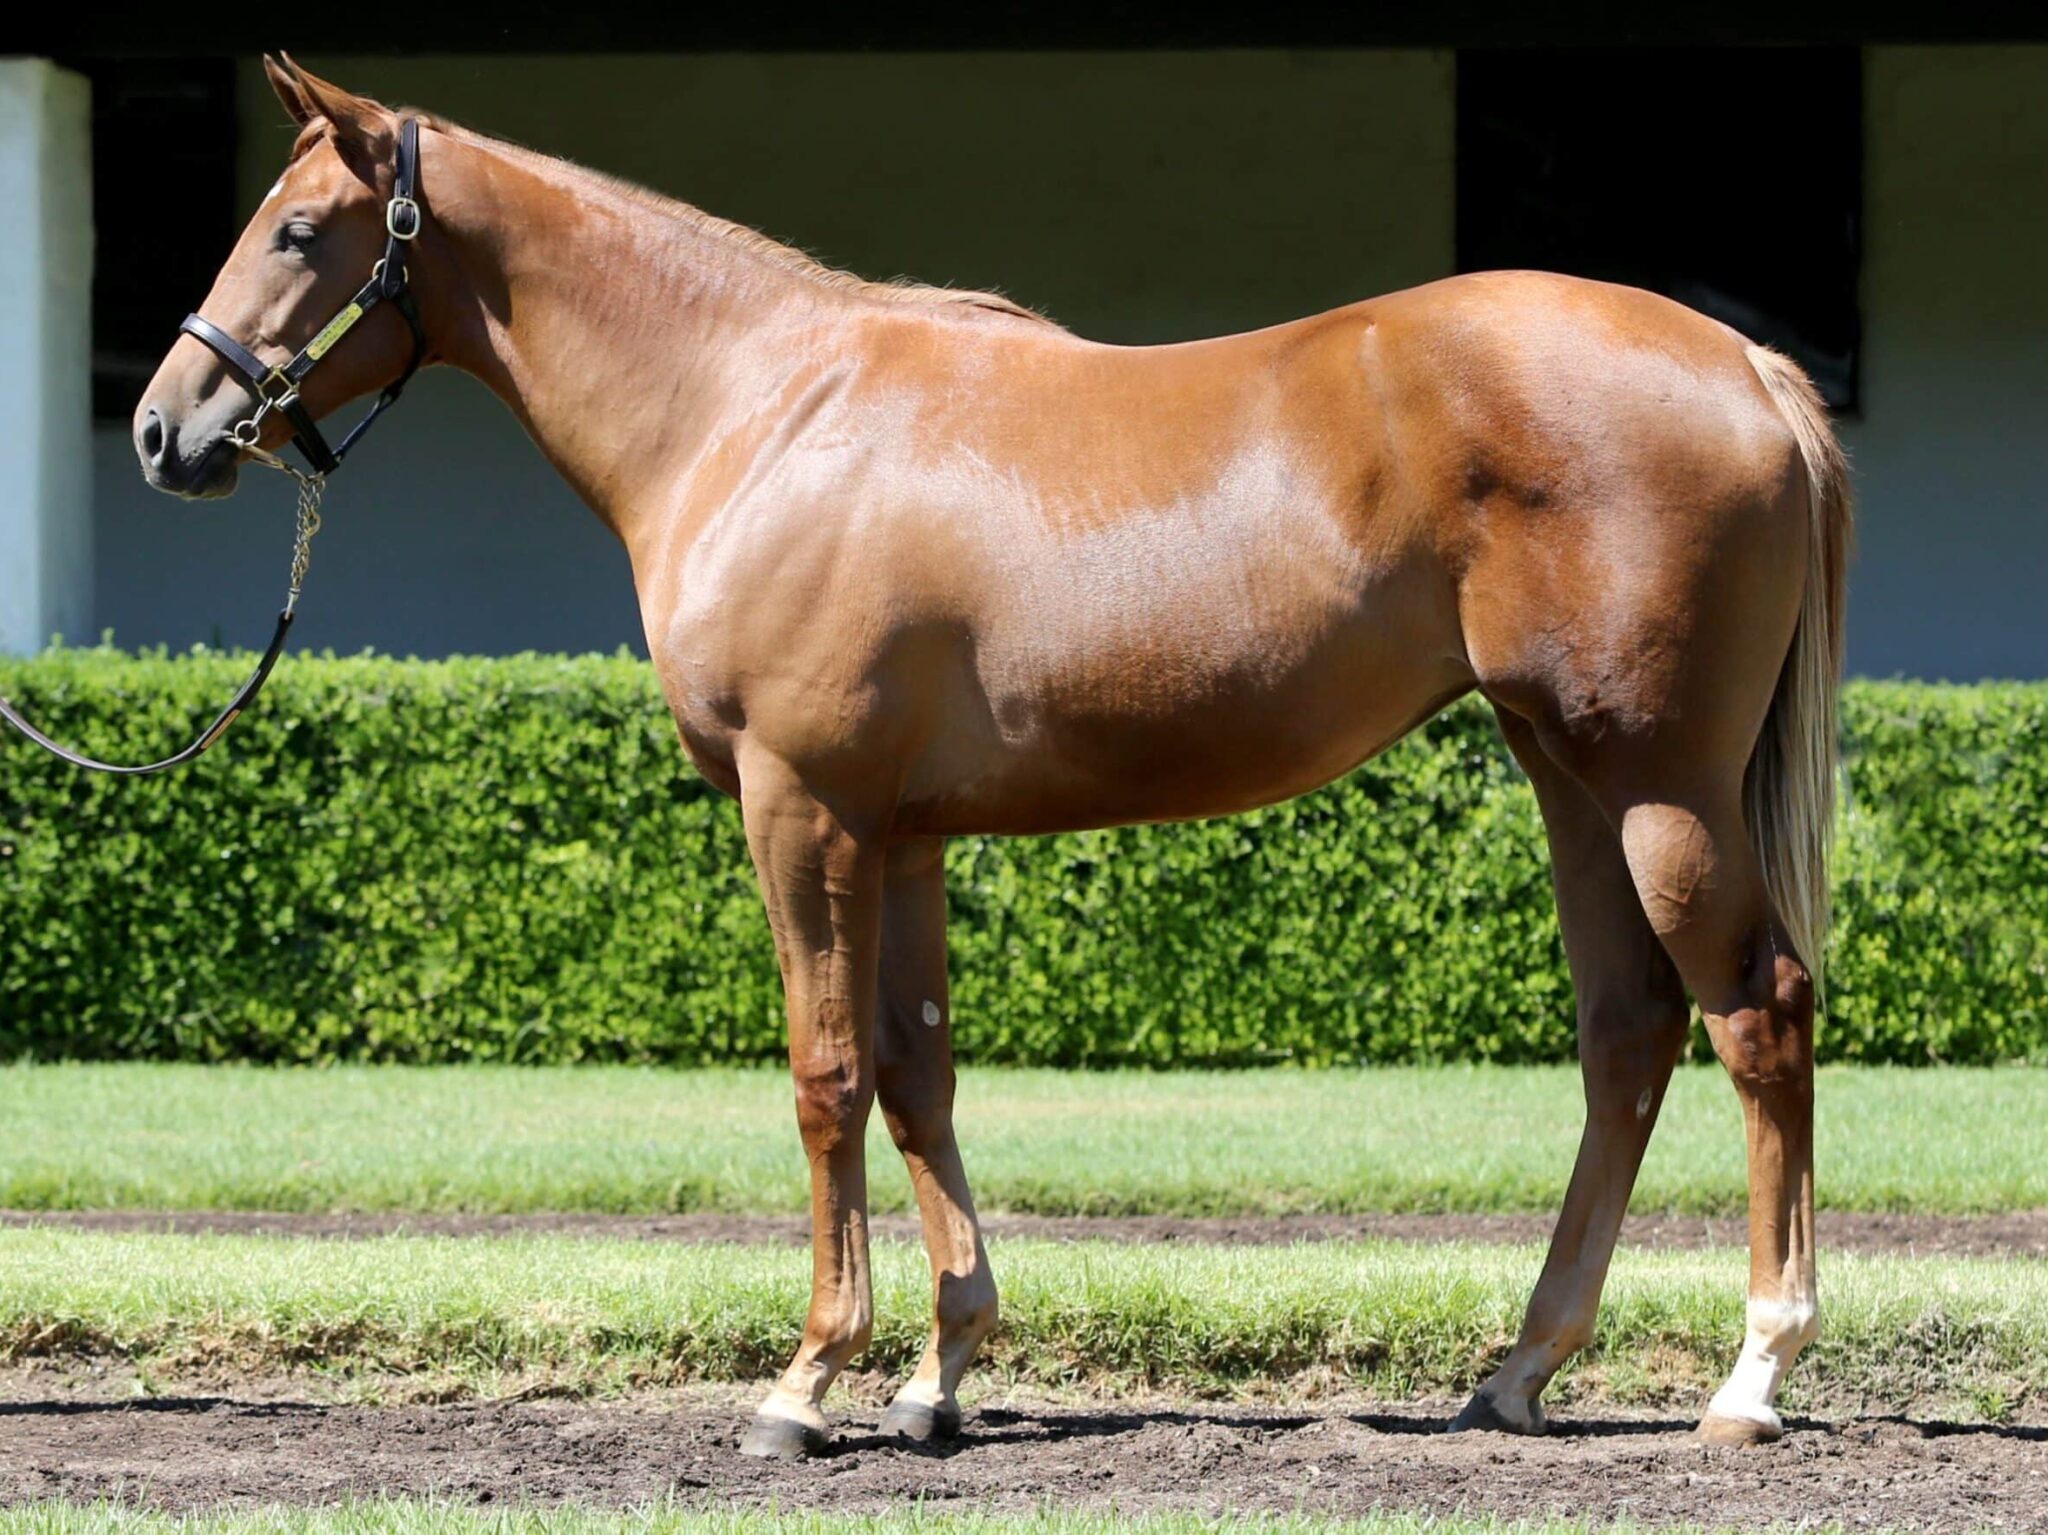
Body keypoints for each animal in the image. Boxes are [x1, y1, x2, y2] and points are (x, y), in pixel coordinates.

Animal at [136, 55, 1850, 1459]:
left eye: (298, 230)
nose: (167, 428)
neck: (761, 408)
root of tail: (1746, 366)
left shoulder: (803, 807)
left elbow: (826, 1070)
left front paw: (806, 1379)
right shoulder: (901, 832)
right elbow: (915, 1070)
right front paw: (936, 1369)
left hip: (1657, 785)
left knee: (1757, 1013)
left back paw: (1752, 1375)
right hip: (1568, 770)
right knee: (1630, 1035)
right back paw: (1522, 1368)